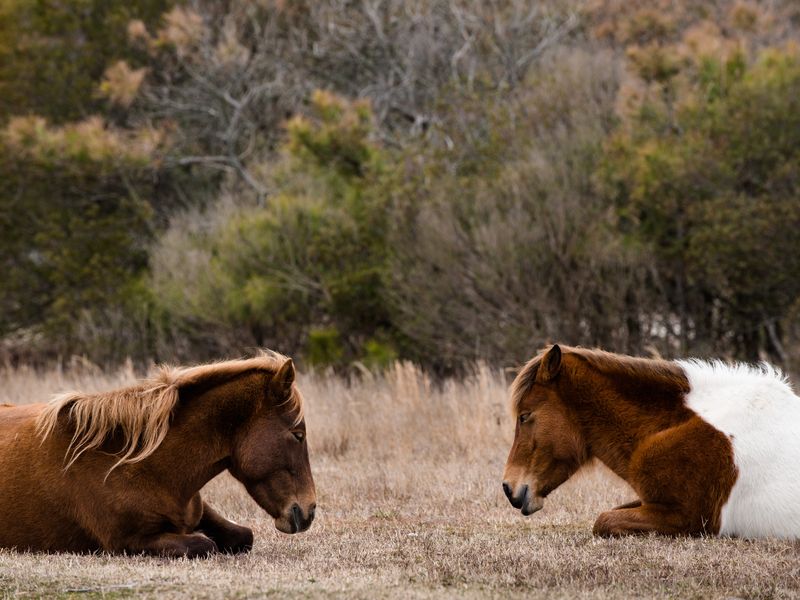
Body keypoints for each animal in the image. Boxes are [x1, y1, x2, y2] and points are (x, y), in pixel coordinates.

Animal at [0, 353, 316, 556]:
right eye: (297, 435)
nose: (309, 511)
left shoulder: (197, 510)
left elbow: (244, 536)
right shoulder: (128, 541)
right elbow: (205, 544)